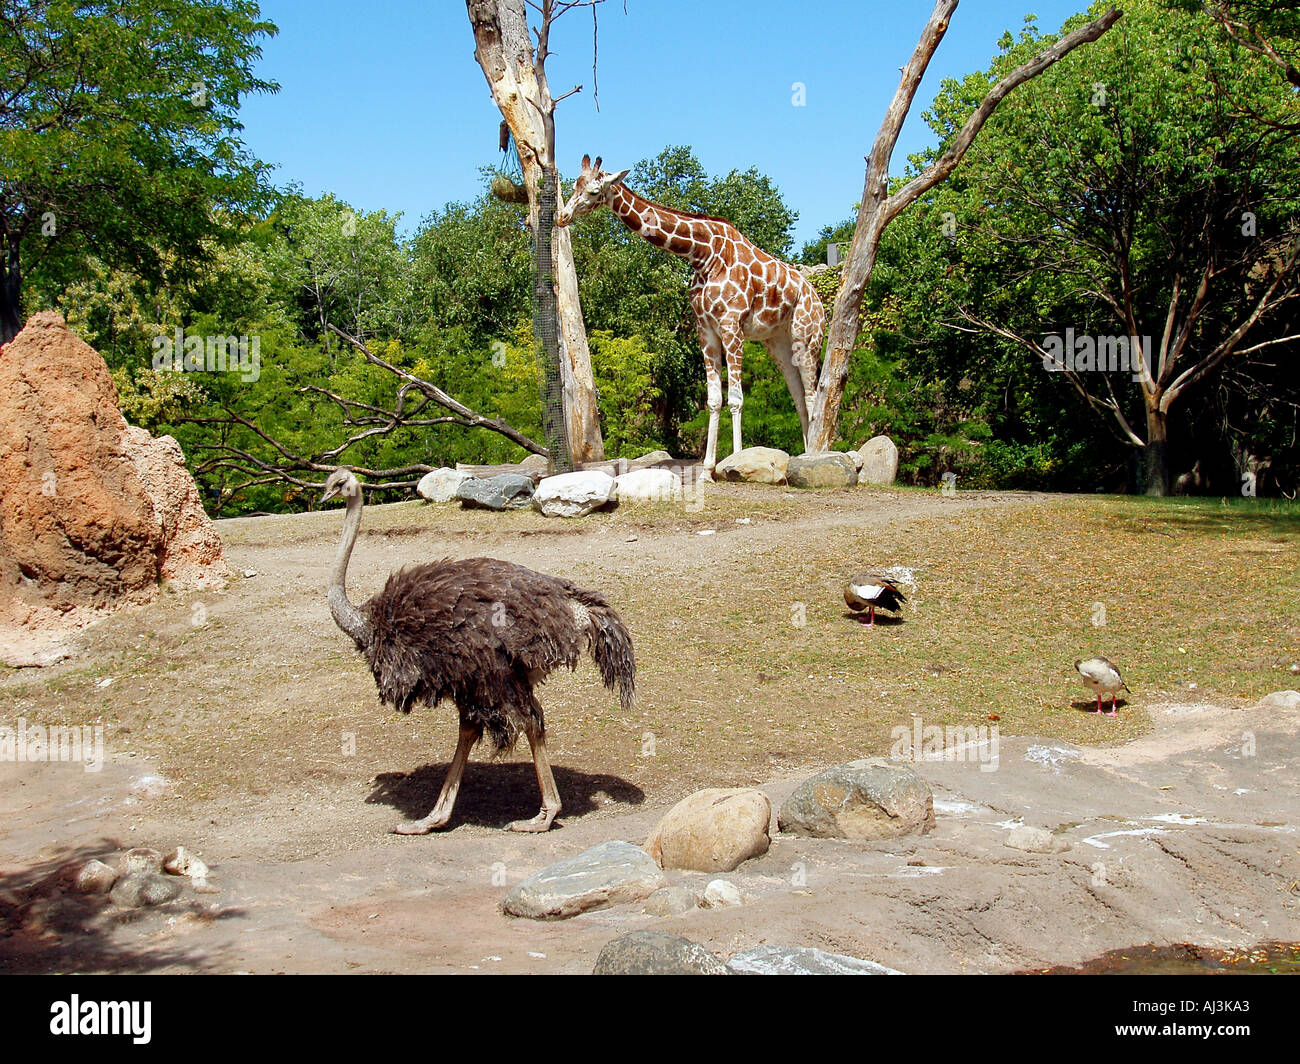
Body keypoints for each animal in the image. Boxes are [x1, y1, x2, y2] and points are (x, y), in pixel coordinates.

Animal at [556, 156, 825, 479]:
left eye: (594, 191)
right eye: (575, 185)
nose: (562, 216)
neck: (703, 255)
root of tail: (818, 300)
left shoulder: (731, 326)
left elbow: (736, 399)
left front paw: (736, 461)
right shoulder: (705, 329)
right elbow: (714, 399)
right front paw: (708, 469)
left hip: (806, 336)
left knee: (812, 395)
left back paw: (816, 455)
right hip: (778, 343)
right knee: (799, 397)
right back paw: (806, 454)